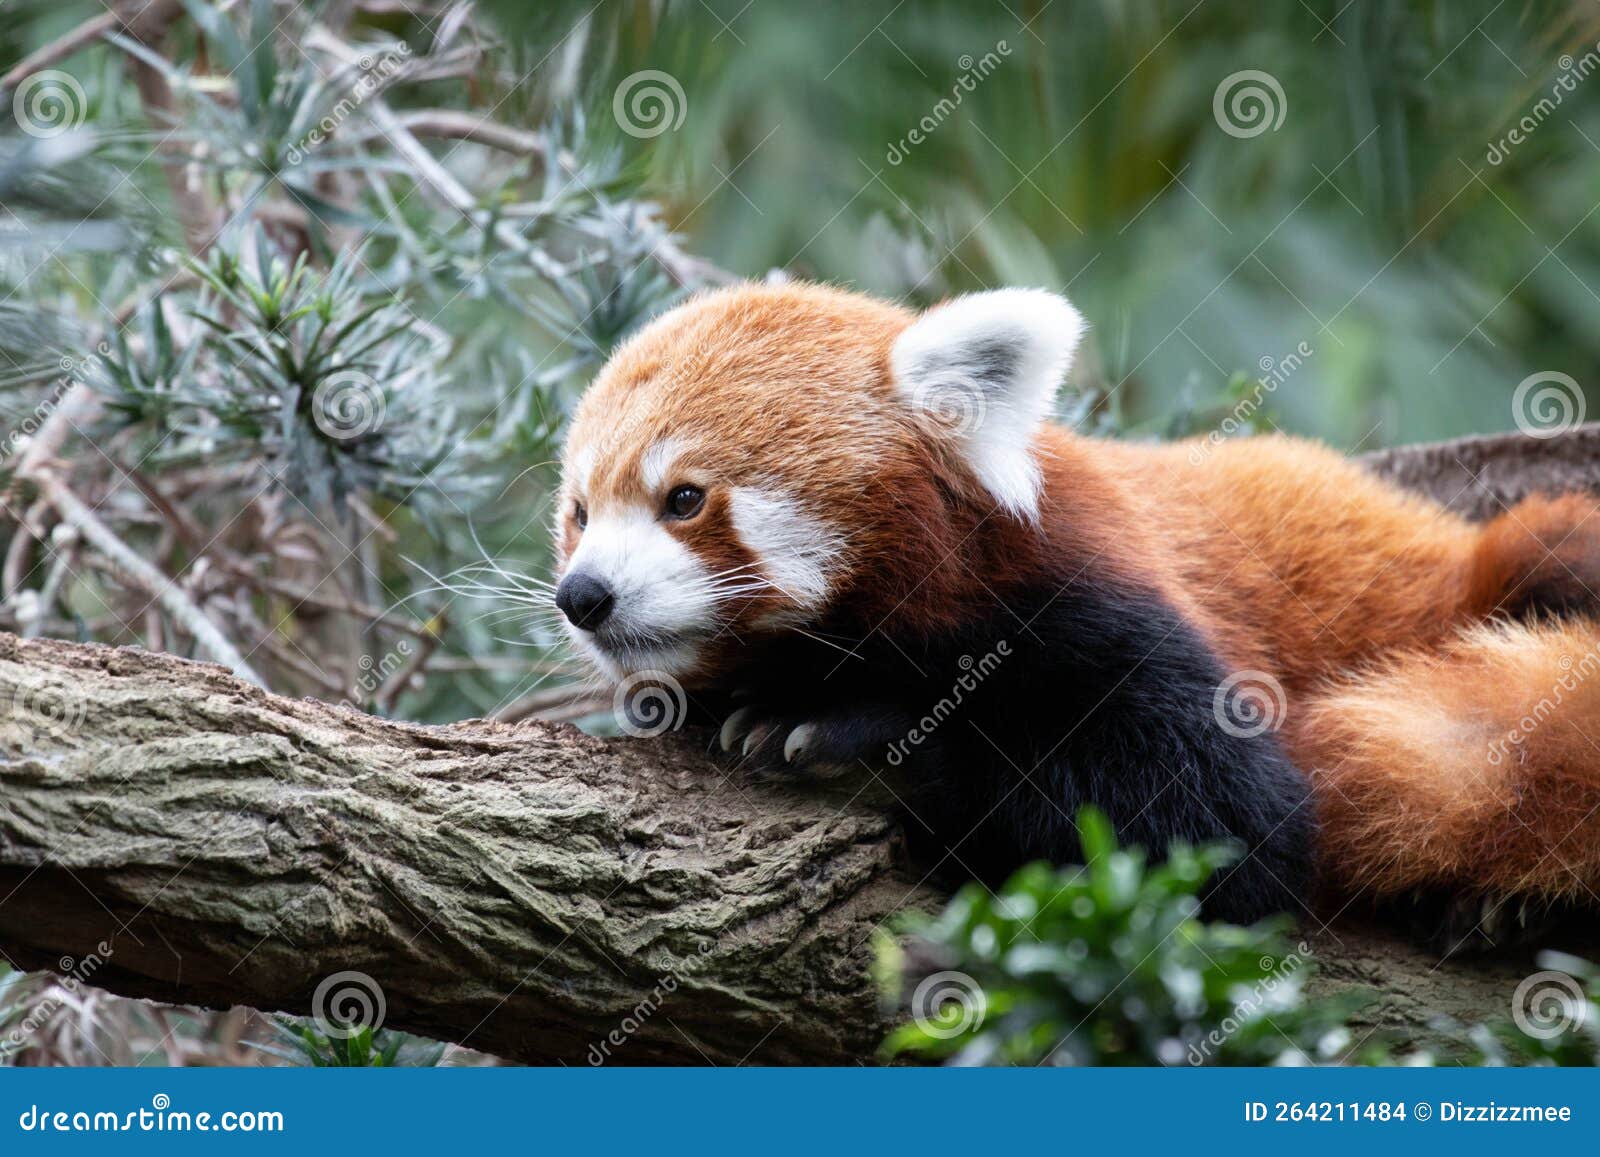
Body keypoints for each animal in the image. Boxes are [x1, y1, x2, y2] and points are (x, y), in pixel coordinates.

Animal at [552, 281, 1600, 936]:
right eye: (579, 512)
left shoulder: (1100, 603)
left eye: (683, 498)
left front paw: (857, 735)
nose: (583, 595)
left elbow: (1230, 830)